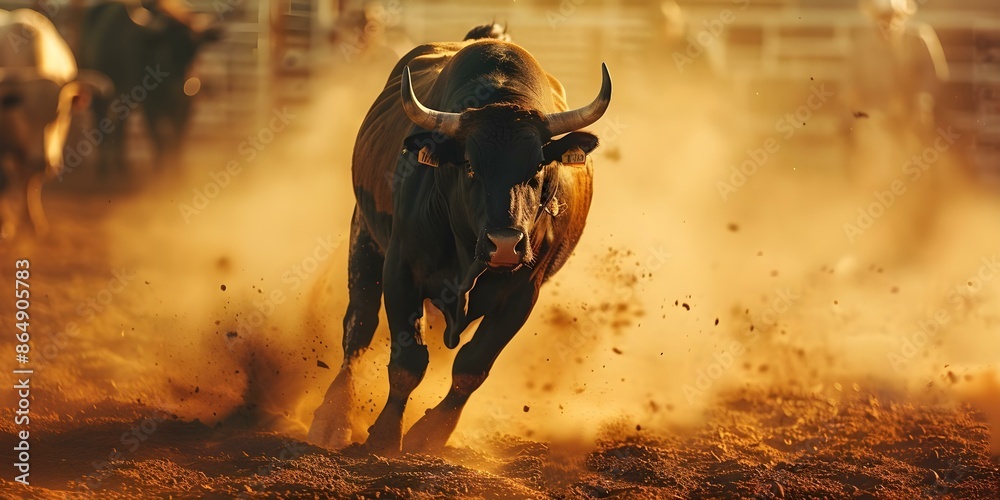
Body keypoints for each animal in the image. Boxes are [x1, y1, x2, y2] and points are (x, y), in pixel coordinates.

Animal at [0, 9, 100, 240]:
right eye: (23, 114)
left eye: (60, 114)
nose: (41, 162)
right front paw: (6, 225)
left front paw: (33, 222)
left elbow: (30, 181)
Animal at [74, 0, 221, 174]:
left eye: (196, 48)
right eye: (167, 47)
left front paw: (178, 173)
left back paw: (123, 169)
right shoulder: (149, 106)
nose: (185, 84)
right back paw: (103, 171)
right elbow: (158, 141)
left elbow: (177, 142)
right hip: (99, 95)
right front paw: (159, 172)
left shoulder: (185, 106)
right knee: (100, 126)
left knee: (120, 130)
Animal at [308, 25, 612, 454]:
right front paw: (384, 436)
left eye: (538, 165)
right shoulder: (400, 270)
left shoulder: (522, 294)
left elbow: (472, 366)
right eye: (469, 165)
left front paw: (430, 433)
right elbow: (407, 362)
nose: (505, 243)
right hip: (363, 237)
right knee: (359, 325)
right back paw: (333, 417)